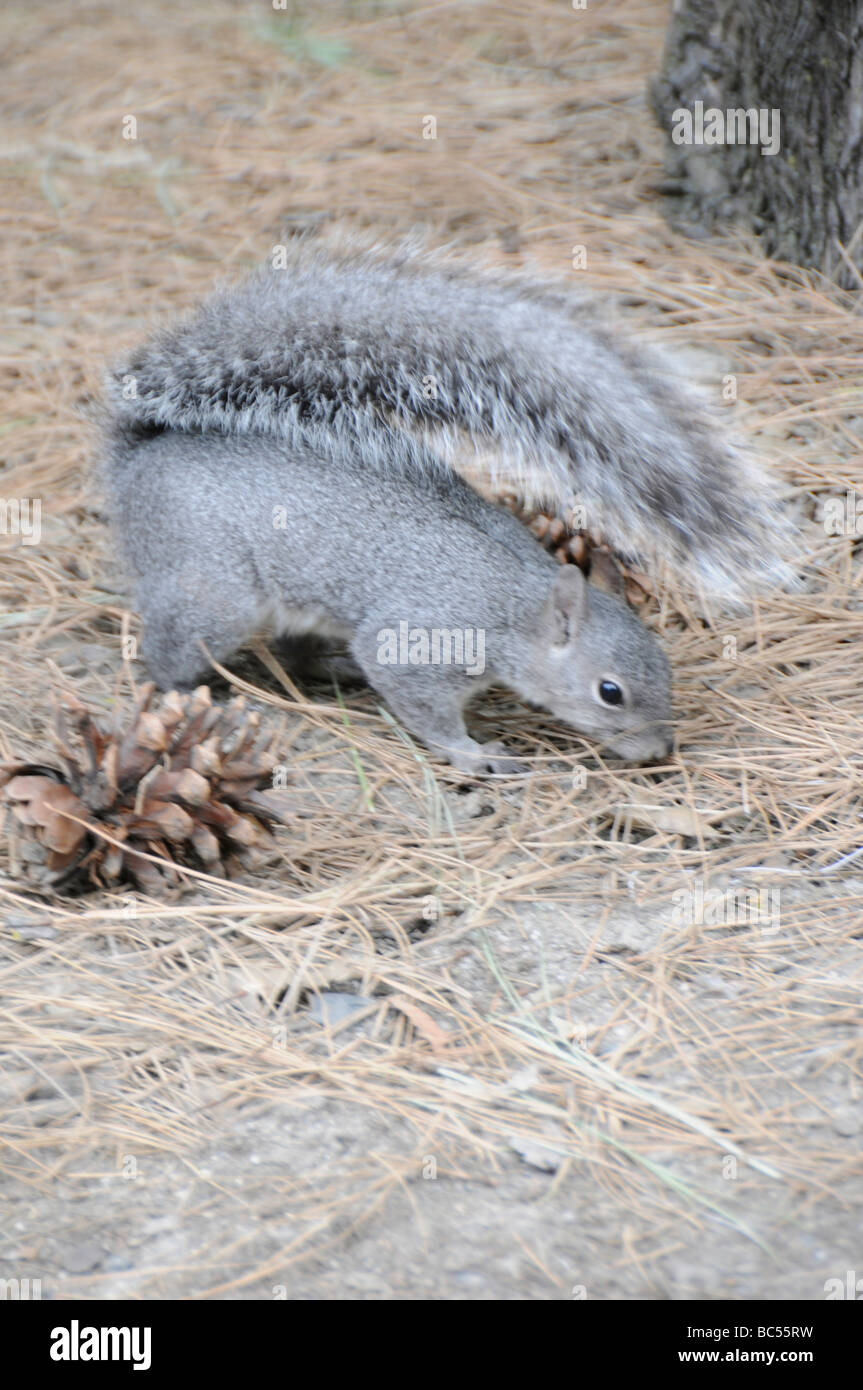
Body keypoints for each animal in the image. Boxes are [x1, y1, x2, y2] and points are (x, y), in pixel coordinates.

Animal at [101, 239, 790, 775]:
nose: (659, 751)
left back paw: (335, 668)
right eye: (610, 692)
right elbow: (425, 711)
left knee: (297, 648)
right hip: (212, 591)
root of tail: (138, 461)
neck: (515, 603)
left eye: (665, 669)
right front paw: (472, 753)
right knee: (167, 653)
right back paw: (190, 697)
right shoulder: (420, 642)